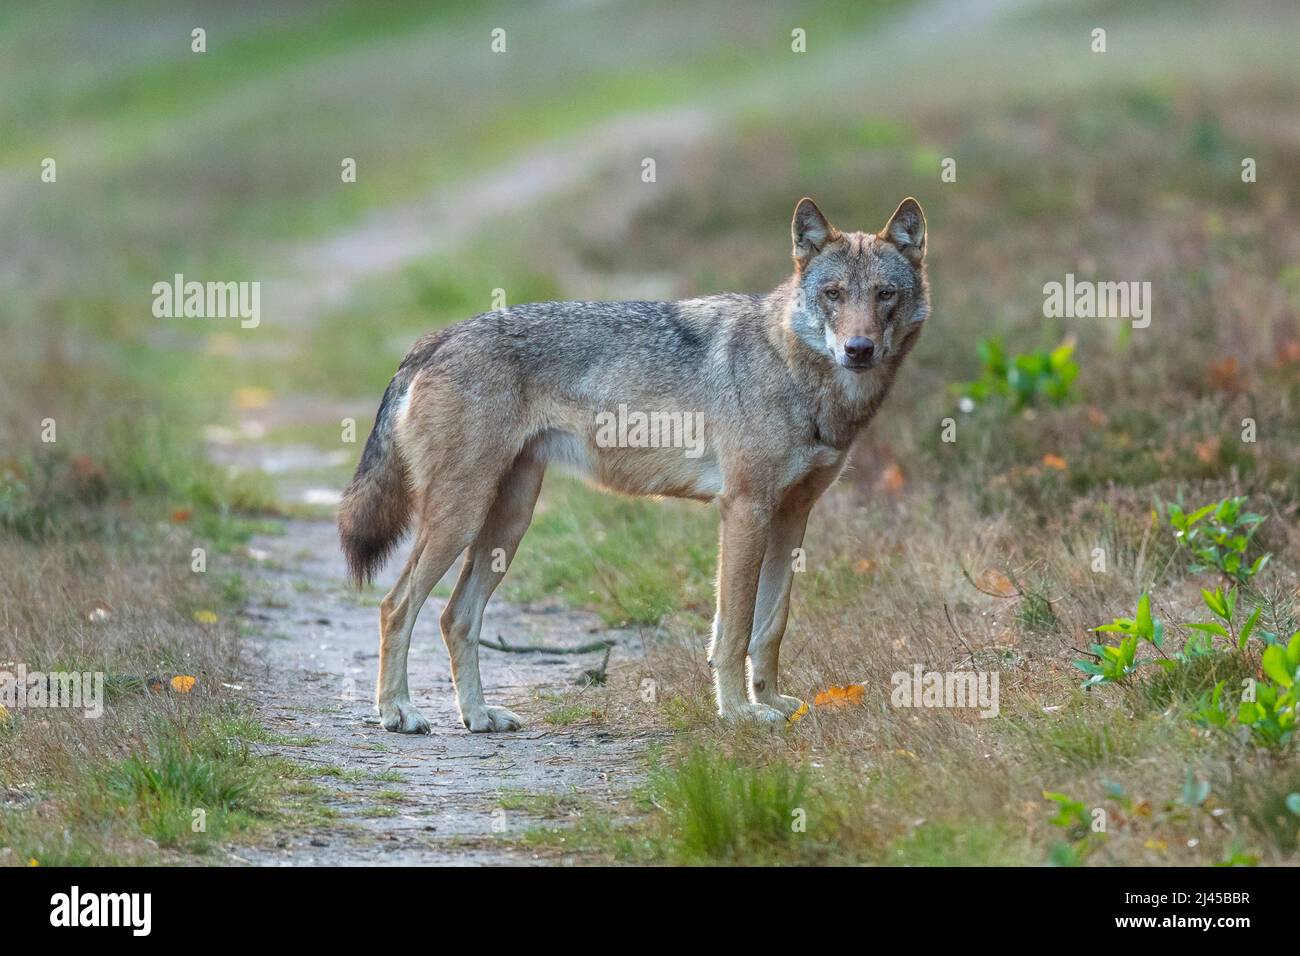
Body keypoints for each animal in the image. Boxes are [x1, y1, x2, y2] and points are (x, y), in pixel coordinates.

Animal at [339, 197, 929, 733]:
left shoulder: (792, 516)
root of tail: (435, 338)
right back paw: (398, 712)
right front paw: (739, 714)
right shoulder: (744, 510)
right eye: (833, 295)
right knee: (395, 605)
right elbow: (734, 629)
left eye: (885, 294)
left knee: (454, 615)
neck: (800, 374)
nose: (858, 348)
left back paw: (479, 716)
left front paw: (776, 705)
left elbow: (771, 625)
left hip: (508, 523)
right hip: (461, 519)